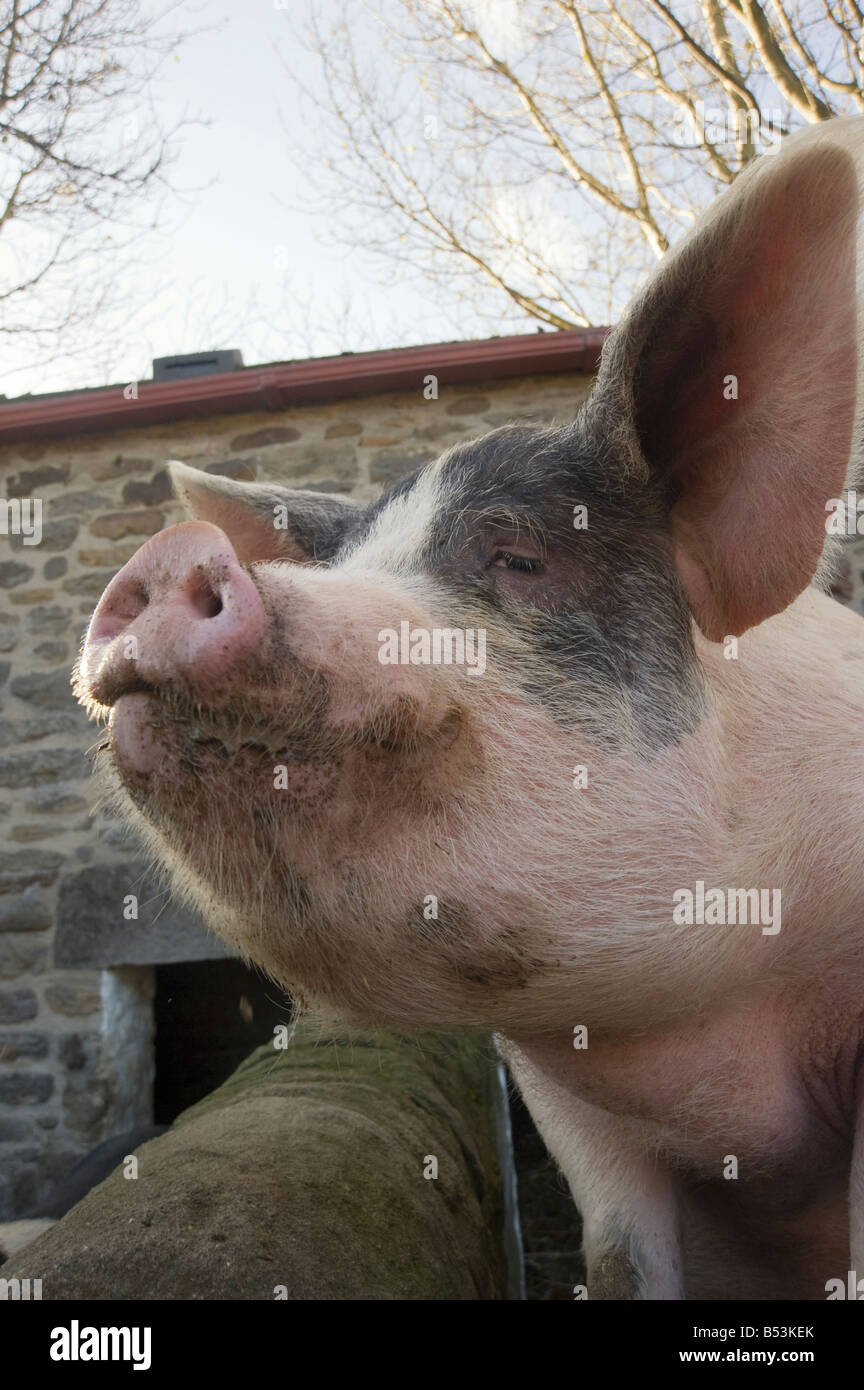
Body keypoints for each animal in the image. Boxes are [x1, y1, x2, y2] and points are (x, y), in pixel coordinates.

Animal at [75, 117, 864, 1300]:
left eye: (520, 557)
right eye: (350, 564)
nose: (173, 554)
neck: (709, 1038)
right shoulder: (570, 1110)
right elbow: (618, 1254)